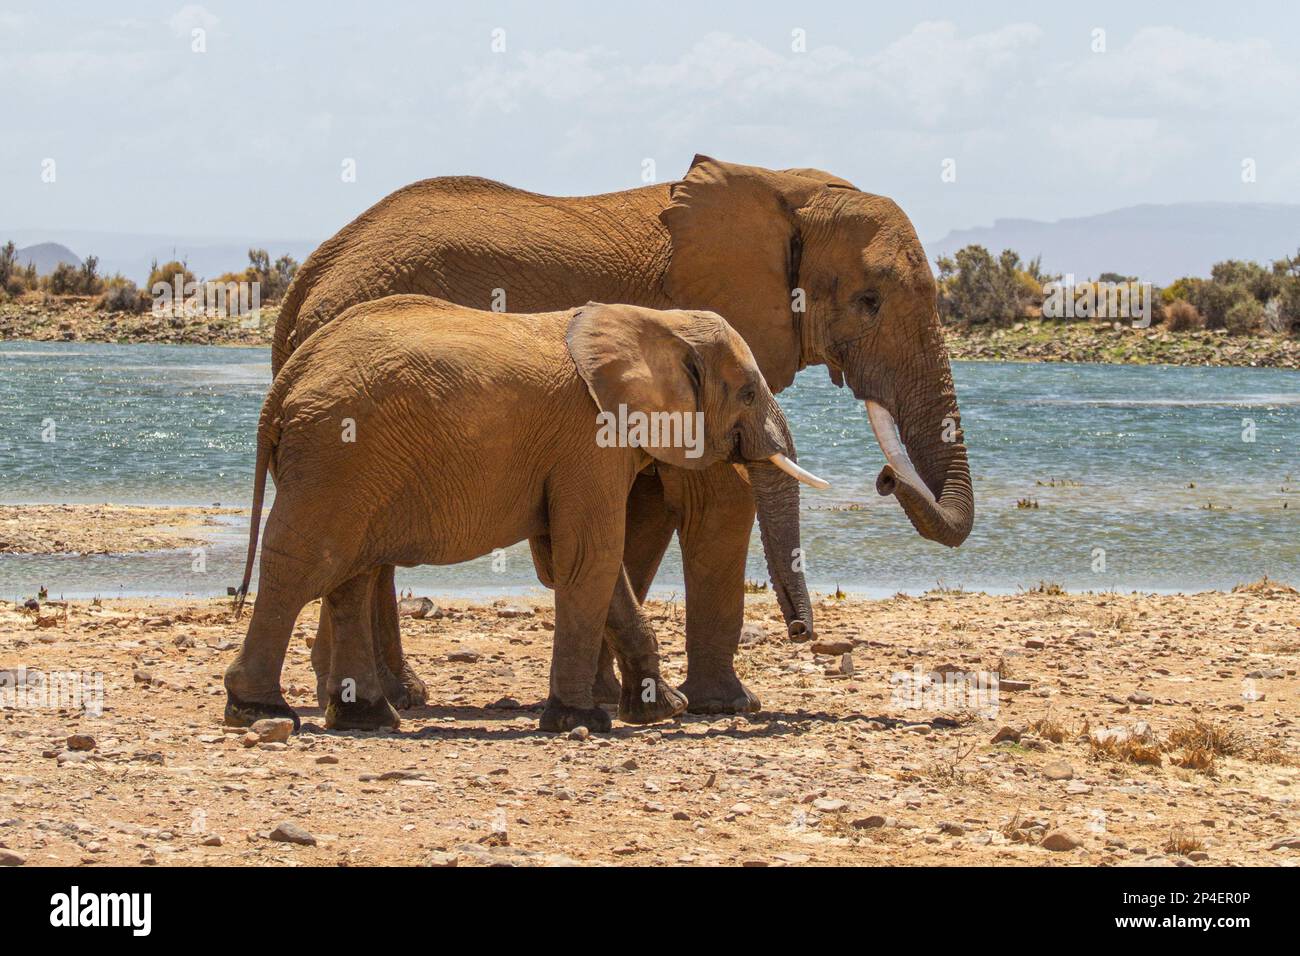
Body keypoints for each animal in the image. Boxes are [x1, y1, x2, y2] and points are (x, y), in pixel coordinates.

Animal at [224, 297, 826, 732]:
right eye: (747, 393)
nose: (799, 631)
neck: (656, 320)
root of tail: (283, 385)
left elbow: (576, 562)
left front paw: (661, 711)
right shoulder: (588, 440)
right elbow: (591, 555)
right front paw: (582, 721)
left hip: (351, 470)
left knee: (351, 575)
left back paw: (366, 719)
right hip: (334, 456)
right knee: (304, 564)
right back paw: (260, 712)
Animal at [271, 155, 975, 716]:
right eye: (869, 301)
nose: (886, 477)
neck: (784, 185)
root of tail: (306, 279)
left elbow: (644, 514)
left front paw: (618, 696)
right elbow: (716, 498)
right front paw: (727, 704)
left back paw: (380, 695)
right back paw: (384, 697)